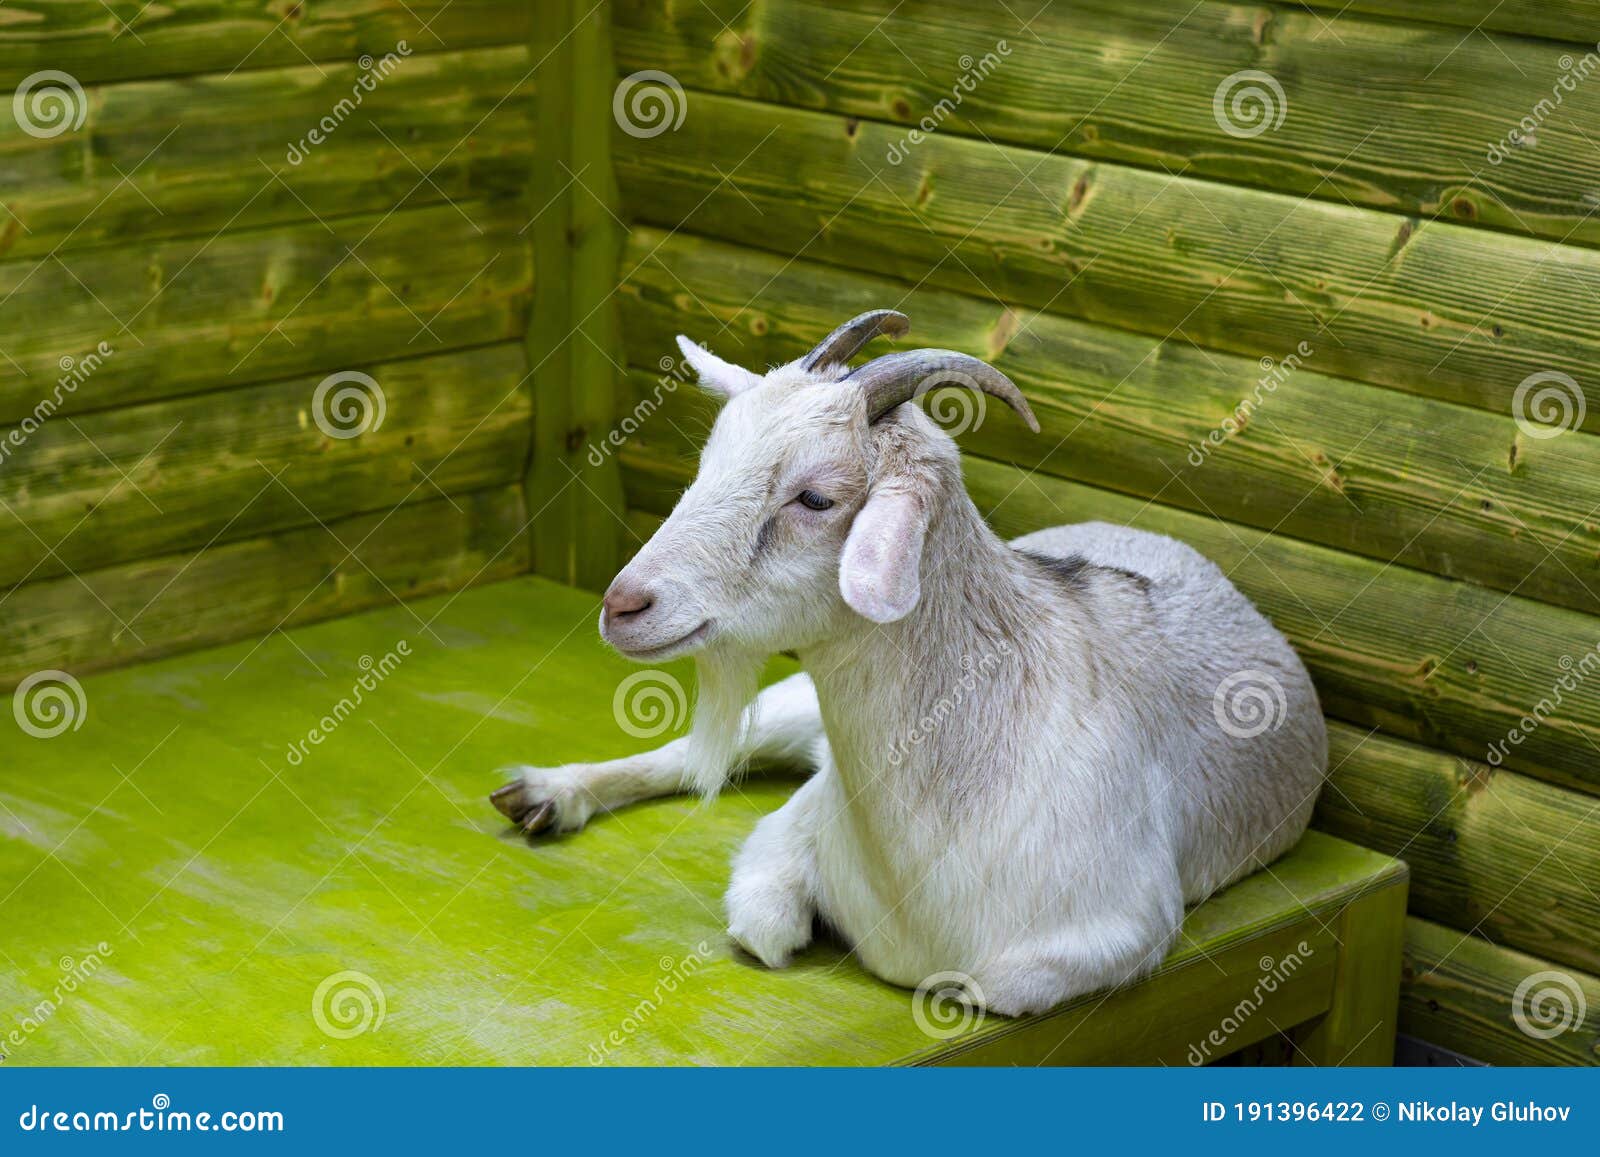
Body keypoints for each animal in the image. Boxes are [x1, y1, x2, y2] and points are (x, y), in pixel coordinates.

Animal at [492, 311, 1328, 1015]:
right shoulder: (799, 823)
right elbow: (763, 924)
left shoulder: (1119, 928)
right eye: (708, 465)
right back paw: (547, 793)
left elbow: (977, 982)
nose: (624, 604)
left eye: (816, 497)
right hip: (795, 701)